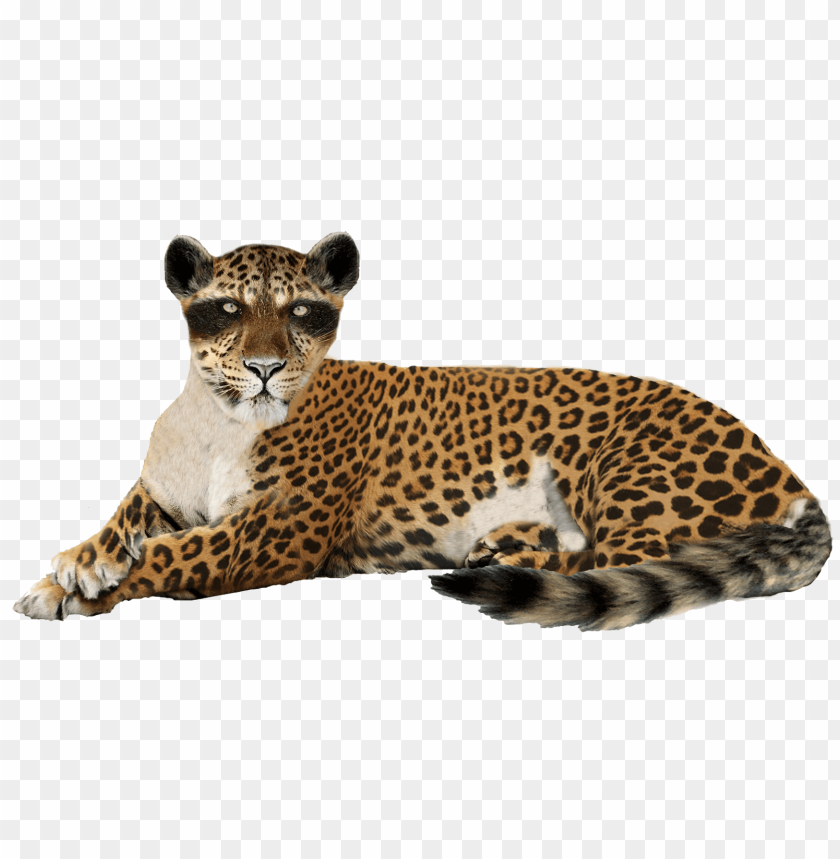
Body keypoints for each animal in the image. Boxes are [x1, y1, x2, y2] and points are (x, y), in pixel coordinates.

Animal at [14, 232, 832, 631]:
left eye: (304, 311)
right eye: (226, 310)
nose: (265, 368)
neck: (217, 420)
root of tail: (788, 472)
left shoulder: (274, 532)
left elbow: (172, 555)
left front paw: (75, 589)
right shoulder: (165, 494)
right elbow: (125, 519)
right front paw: (76, 563)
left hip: (628, 470)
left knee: (614, 562)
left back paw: (509, 554)